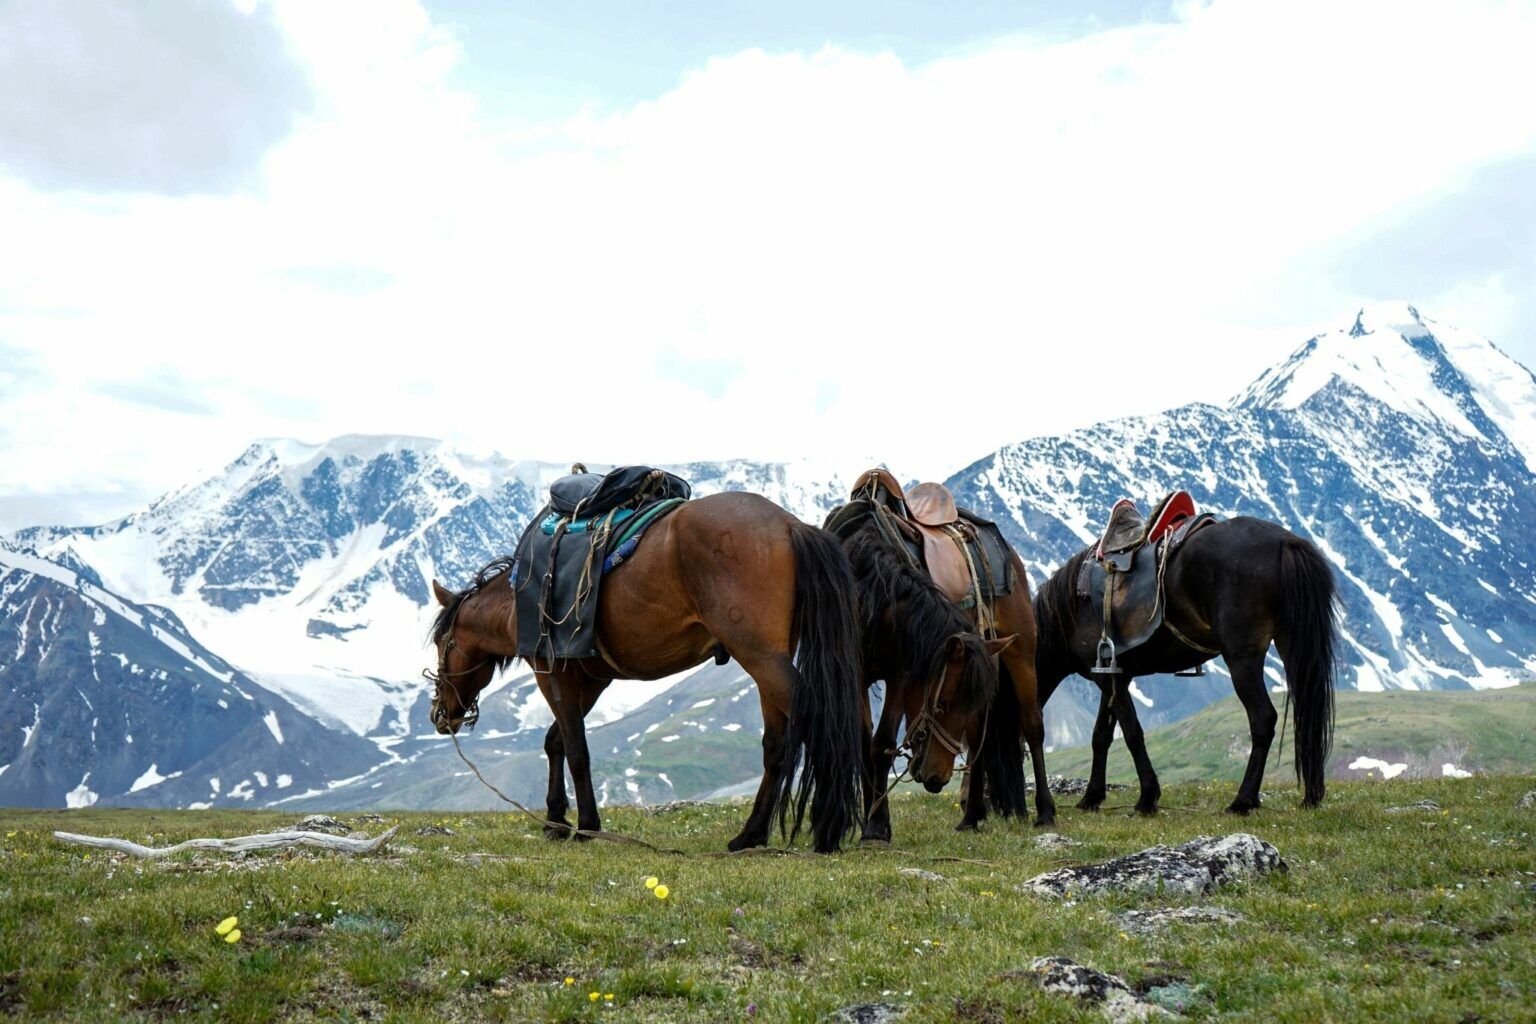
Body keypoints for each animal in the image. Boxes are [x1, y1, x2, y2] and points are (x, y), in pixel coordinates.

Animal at [427, 491, 867, 854]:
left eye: (440, 642)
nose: (440, 715)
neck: (521, 596)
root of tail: (790, 525)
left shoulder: (551, 672)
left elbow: (576, 749)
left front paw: (586, 826)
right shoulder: (593, 679)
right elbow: (556, 742)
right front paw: (555, 821)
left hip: (759, 655)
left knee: (823, 722)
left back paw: (829, 830)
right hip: (770, 659)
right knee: (779, 746)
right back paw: (752, 835)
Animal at [841, 518, 1056, 840]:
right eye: (940, 703)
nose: (937, 779)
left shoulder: (901, 676)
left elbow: (881, 745)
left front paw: (877, 828)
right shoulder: (858, 674)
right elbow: (865, 748)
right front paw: (874, 822)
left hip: (1021, 651)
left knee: (1032, 726)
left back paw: (1045, 812)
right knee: (979, 737)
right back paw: (971, 816)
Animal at [1034, 516, 1338, 815]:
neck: (1072, 608)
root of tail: (1285, 541)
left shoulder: (1110, 679)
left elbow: (1132, 733)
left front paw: (1147, 798)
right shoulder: (1112, 676)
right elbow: (1101, 736)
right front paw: (1091, 798)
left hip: (1242, 659)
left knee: (1263, 718)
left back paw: (1243, 800)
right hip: (1291, 644)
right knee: (1307, 710)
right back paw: (1311, 796)